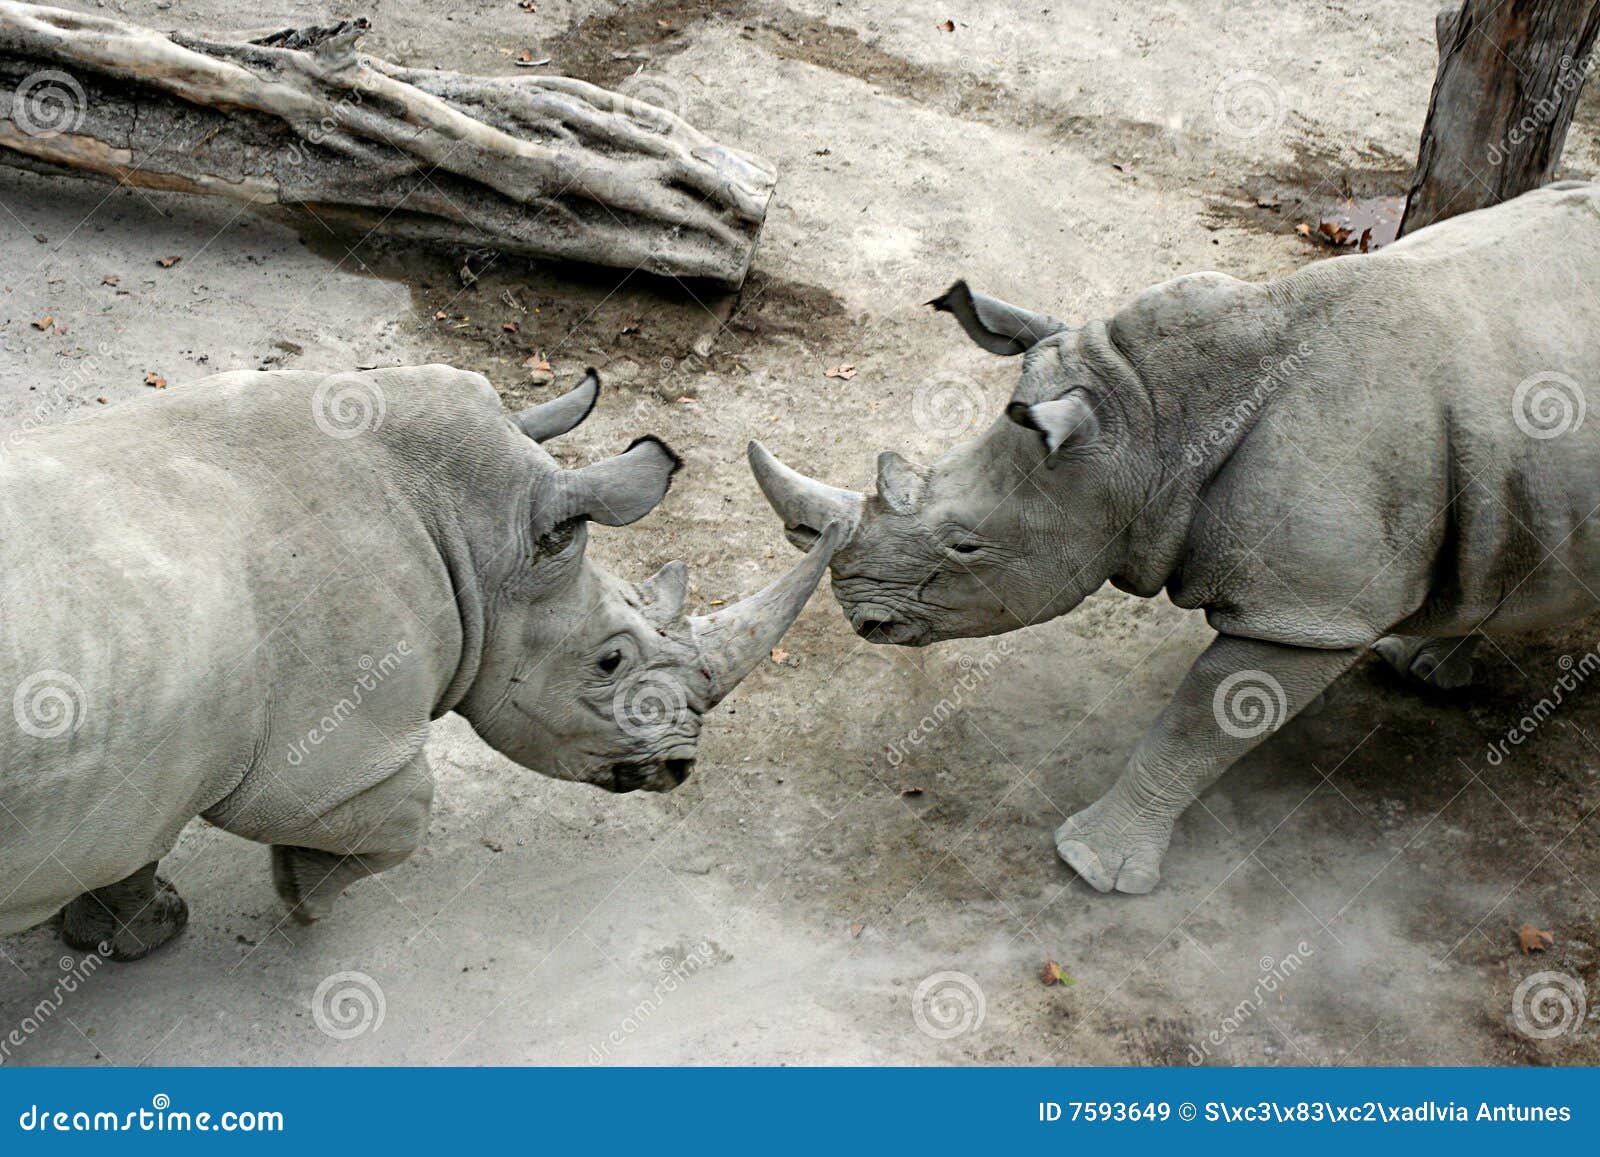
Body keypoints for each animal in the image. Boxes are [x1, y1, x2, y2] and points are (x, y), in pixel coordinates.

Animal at [0, 364, 839, 958]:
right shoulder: (326, 766)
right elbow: (406, 816)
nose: (681, 767)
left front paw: (135, 935)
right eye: (609, 661)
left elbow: (135, 845)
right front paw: (301, 893)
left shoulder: (151, 763)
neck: (470, 528)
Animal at [749, 181, 1600, 894]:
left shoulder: (1301, 610)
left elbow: (1204, 718)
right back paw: (1423, 665)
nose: (859, 614)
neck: (1155, 419)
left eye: (965, 547)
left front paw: (1090, 866)